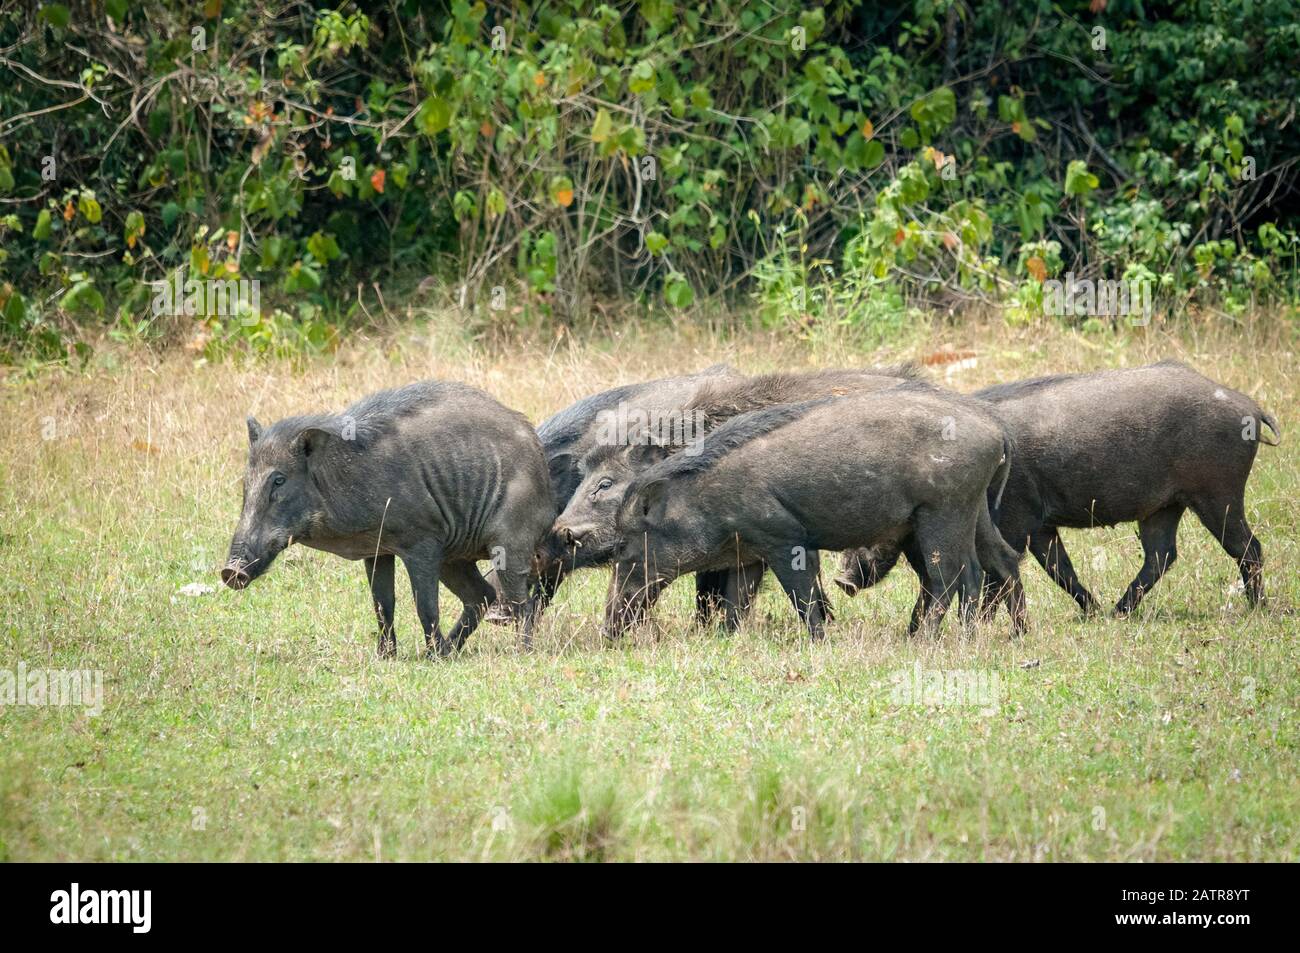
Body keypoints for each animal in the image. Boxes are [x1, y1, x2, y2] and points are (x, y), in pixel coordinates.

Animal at [221, 381, 554, 658]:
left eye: (279, 480)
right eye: (246, 480)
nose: (230, 571)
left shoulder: (422, 542)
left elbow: (424, 605)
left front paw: (431, 658)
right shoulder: (378, 550)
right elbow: (383, 605)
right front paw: (386, 657)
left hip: (509, 543)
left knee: (520, 601)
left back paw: (519, 653)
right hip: (454, 558)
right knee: (482, 595)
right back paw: (452, 650)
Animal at [603, 385, 1026, 641]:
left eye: (624, 546)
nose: (608, 630)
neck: (703, 502)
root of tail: (997, 433)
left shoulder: (785, 540)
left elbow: (801, 596)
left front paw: (819, 641)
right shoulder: (747, 554)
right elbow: (737, 602)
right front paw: (727, 639)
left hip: (942, 512)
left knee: (951, 577)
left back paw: (927, 641)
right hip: (973, 510)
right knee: (999, 562)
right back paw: (1012, 635)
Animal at [835, 361, 1281, 616]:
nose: (843, 581)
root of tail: (1250, 407)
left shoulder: (1018, 522)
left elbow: (1003, 574)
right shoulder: (1041, 526)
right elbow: (1060, 570)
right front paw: (1090, 612)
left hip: (1218, 493)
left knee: (1247, 547)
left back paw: (1258, 609)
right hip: (1163, 507)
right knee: (1162, 555)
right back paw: (1116, 612)